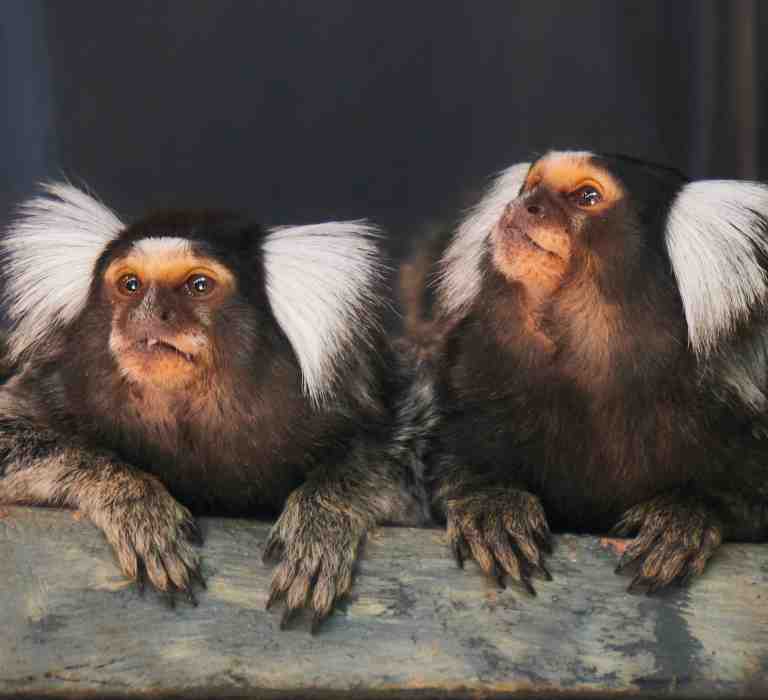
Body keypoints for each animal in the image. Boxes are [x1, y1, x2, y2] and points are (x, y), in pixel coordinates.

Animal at [0, 183, 431, 630]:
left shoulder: (355, 386)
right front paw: (134, 500)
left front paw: (324, 517)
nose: (149, 314)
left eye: (199, 285)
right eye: (131, 285)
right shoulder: (56, 384)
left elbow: (396, 465)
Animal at [407, 150, 768, 594]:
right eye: (531, 188)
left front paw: (688, 513)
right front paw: (491, 502)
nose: (525, 205)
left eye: (587, 197)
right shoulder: (469, 373)